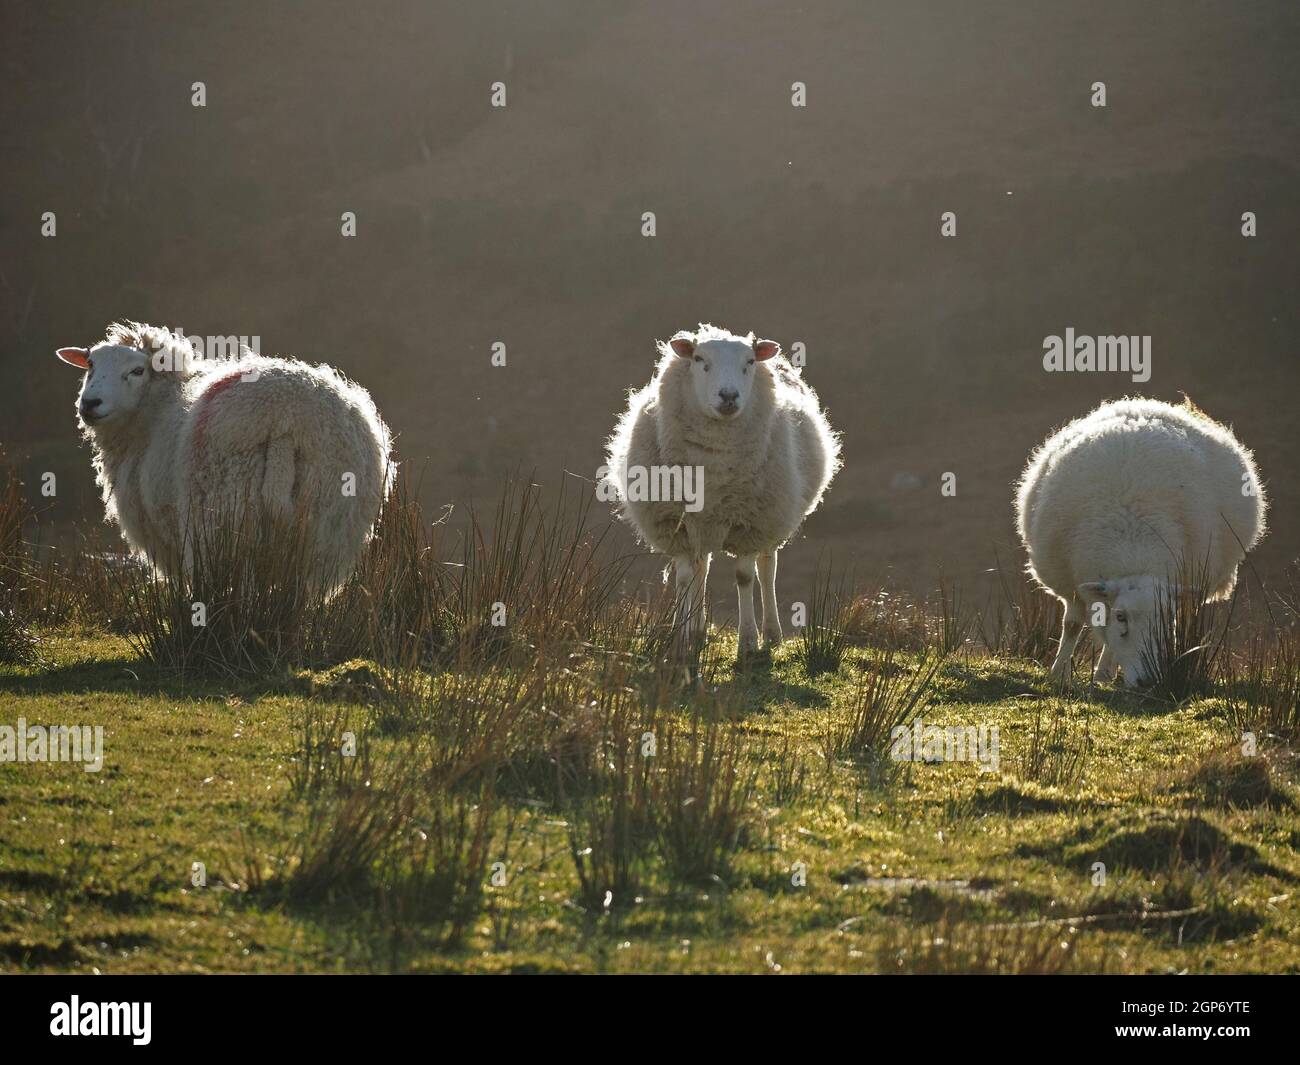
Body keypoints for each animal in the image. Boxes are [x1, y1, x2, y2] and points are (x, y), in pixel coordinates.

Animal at [56, 321, 393, 594]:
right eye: (90, 365)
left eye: (137, 371)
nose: (90, 403)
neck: (154, 408)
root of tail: (285, 416)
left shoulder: (162, 531)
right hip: (328, 524)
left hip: (226, 515)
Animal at [603, 324, 841, 658]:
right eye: (699, 359)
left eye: (749, 362)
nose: (728, 395)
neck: (713, 466)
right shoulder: (677, 526)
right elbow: (685, 578)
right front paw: (681, 637)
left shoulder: (751, 525)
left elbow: (745, 577)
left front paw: (748, 643)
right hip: (702, 526)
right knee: (701, 569)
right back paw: (698, 629)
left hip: (774, 517)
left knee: (767, 567)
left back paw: (771, 633)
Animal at [1015, 396, 1266, 687]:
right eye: (1121, 617)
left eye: (1167, 622)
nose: (1148, 681)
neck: (1134, 550)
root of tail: (1150, 404)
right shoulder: (1069, 584)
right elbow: (1073, 625)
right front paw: (1058, 674)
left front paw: (1101, 673)